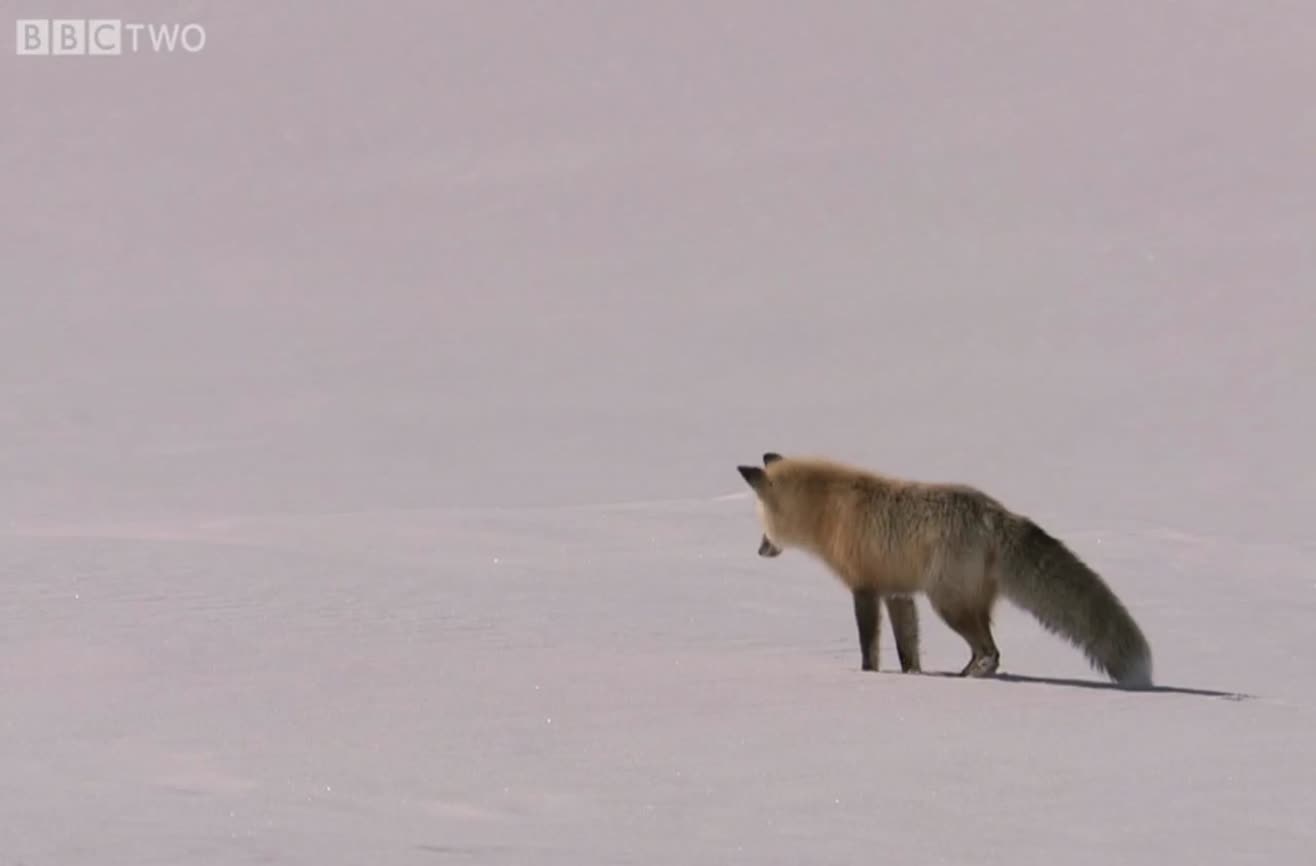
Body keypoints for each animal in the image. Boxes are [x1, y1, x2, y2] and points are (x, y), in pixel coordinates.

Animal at [736, 453, 1153, 688]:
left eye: (762, 524)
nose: (760, 550)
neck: (829, 512)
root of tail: (994, 512)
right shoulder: (898, 592)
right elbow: (908, 651)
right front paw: (914, 679)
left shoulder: (865, 588)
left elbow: (870, 648)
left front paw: (868, 678)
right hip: (968, 604)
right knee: (986, 651)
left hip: (948, 605)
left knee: (990, 653)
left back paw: (969, 681)